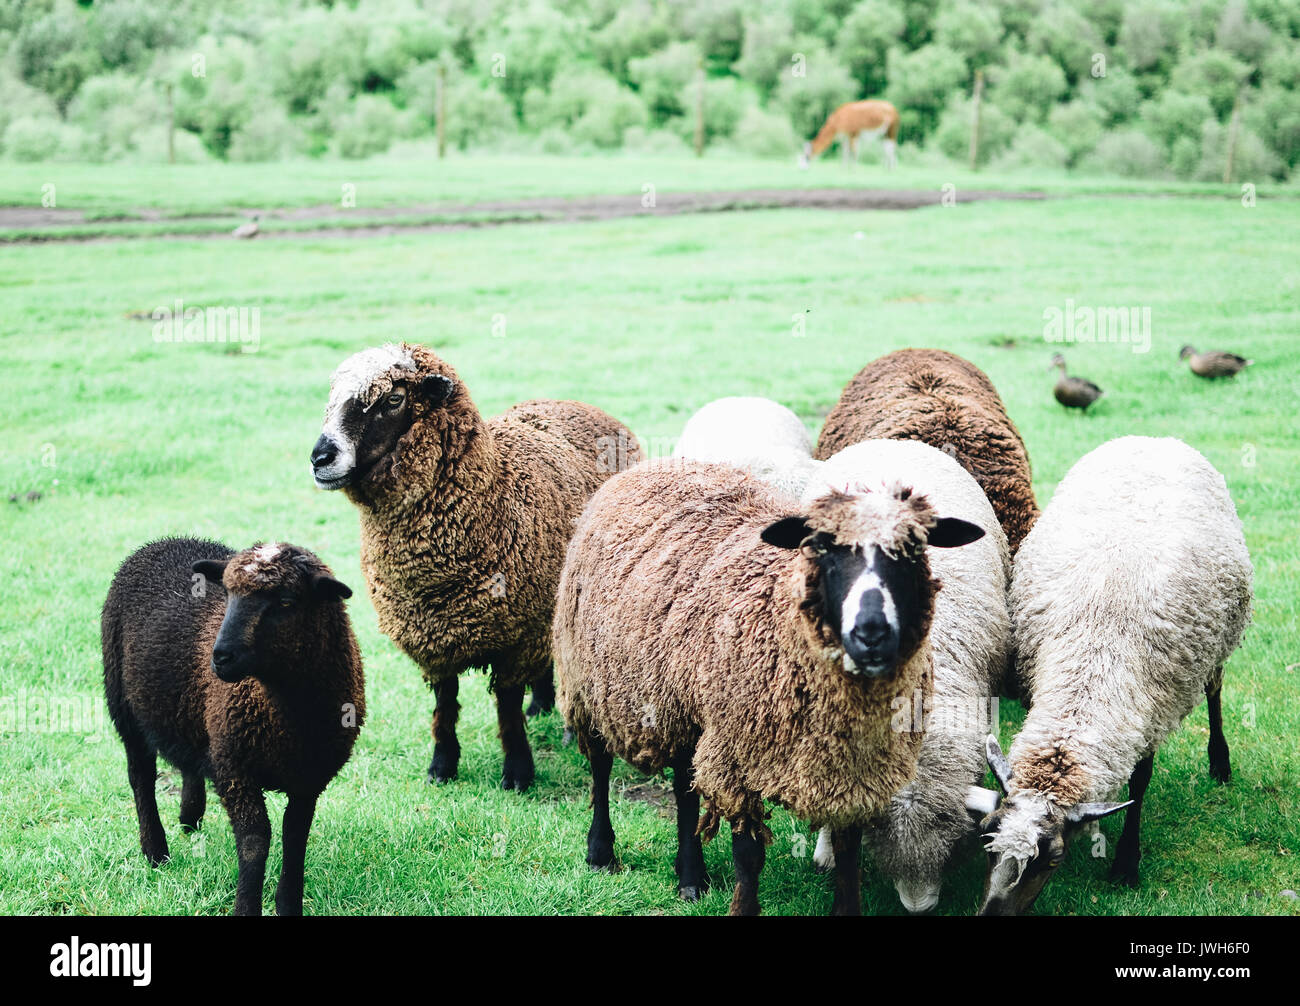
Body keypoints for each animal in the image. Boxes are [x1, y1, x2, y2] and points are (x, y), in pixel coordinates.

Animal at [101, 537, 364, 916]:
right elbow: (256, 840)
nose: (220, 656)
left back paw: (189, 816)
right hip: (123, 707)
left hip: (192, 711)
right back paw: (156, 852)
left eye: (287, 601)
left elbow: (295, 835)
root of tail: (163, 541)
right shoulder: (235, 769)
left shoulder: (310, 777)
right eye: (227, 594)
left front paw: (288, 904)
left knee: (189, 758)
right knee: (141, 778)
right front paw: (247, 906)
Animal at [310, 342, 641, 791]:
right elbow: (445, 704)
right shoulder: (433, 636)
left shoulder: (516, 637)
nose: (319, 457)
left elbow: (506, 706)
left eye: (393, 399)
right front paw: (442, 766)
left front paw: (518, 772)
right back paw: (541, 705)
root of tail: (581, 405)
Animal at [553, 458, 988, 915]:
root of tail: (652, 465)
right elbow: (748, 854)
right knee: (600, 765)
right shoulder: (736, 754)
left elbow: (848, 852)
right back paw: (601, 853)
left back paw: (690, 877)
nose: (871, 632)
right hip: (587, 682)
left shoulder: (853, 767)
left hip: (684, 703)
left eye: (913, 549)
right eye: (823, 547)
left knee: (684, 787)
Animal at [974, 436, 1252, 915]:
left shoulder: (1152, 711)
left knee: (1215, 690)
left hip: (1220, 639)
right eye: (987, 835)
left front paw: (1126, 862)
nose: (991, 914)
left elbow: (1140, 784)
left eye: (1052, 861)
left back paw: (1220, 762)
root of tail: (1154, 438)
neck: (1091, 669)